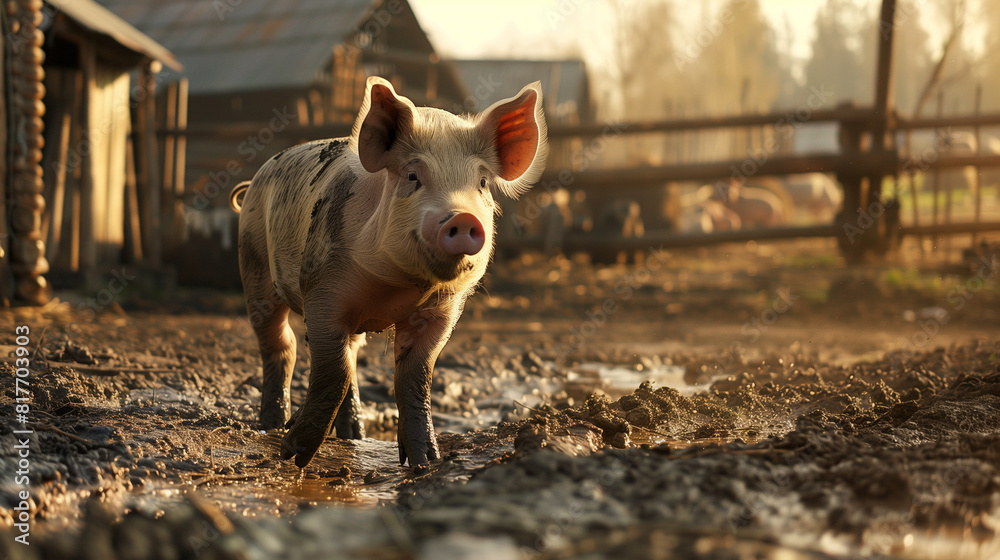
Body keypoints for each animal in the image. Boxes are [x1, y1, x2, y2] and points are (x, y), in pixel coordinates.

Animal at [228, 77, 547, 469]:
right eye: (412, 175)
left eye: (483, 183)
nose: (461, 217)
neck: (395, 286)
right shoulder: (323, 290)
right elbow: (333, 371)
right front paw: (293, 456)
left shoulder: (441, 312)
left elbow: (415, 376)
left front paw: (425, 461)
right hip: (254, 266)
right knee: (280, 344)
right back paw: (271, 427)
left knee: (348, 353)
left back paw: (354, 434)